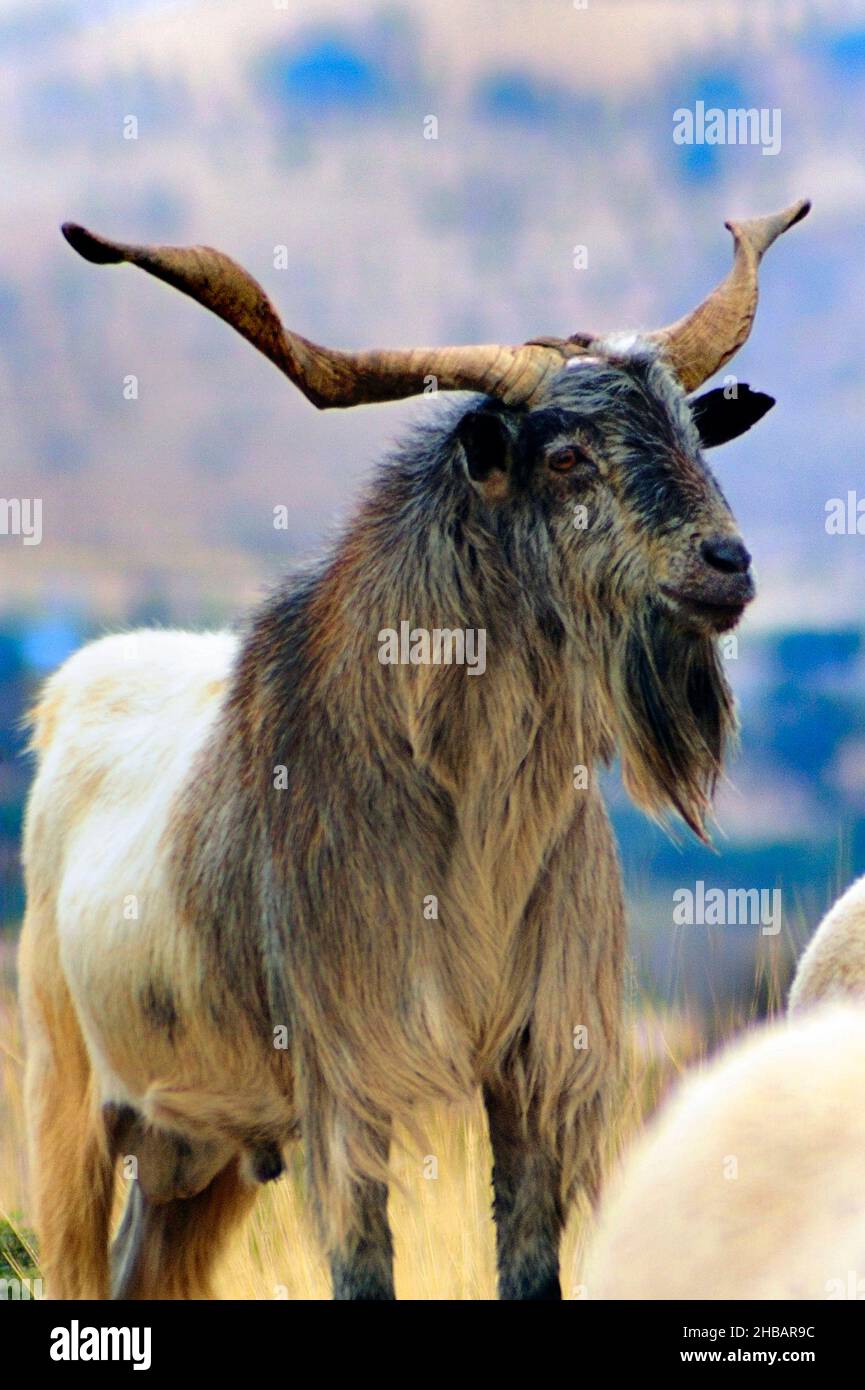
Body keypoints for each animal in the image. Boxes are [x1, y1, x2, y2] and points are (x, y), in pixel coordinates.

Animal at [19, 199, 809, 1300]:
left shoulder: (535, 1072)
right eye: (565, 456)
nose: (725, 564)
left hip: (201, 1152)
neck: (470, 827)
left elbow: (531, 1266)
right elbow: (364, 1270)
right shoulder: (348, 1089)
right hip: (69, 1103)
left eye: (692, 431)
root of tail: (61, 699)